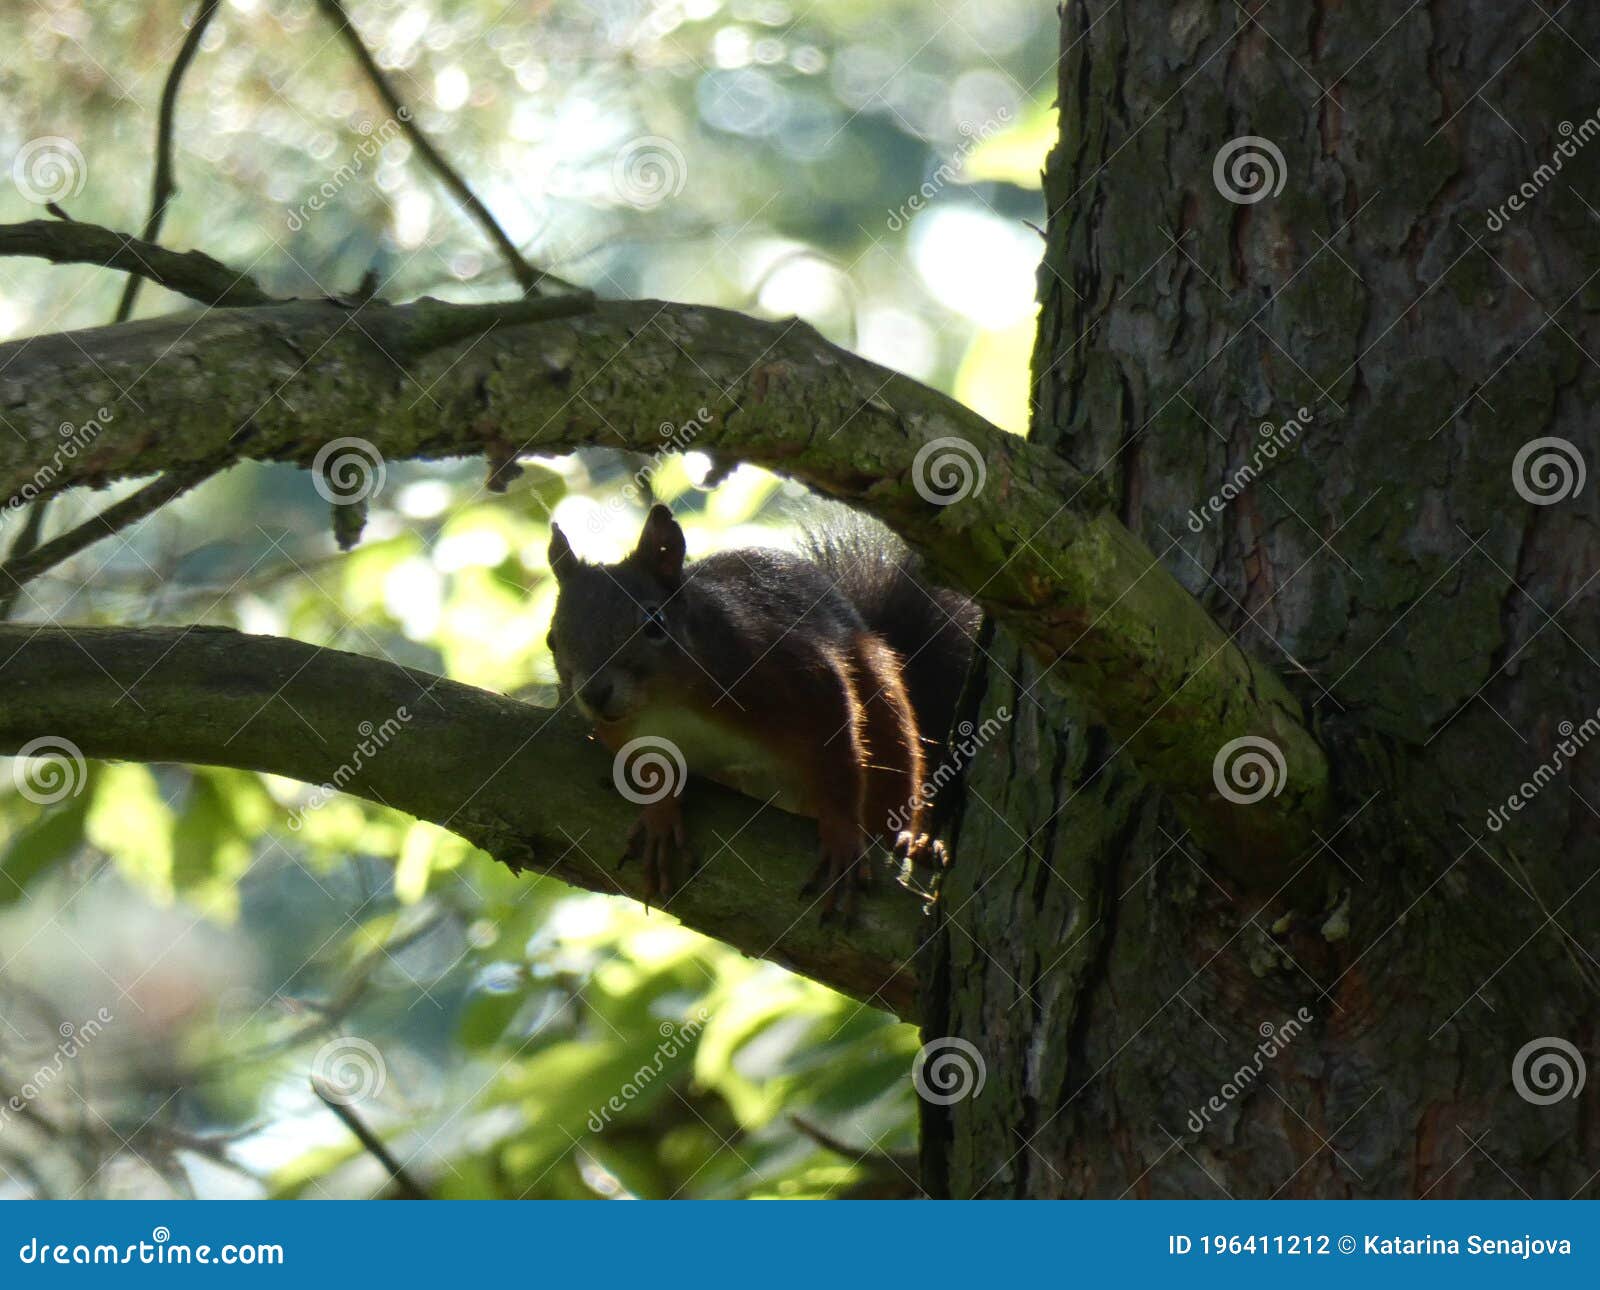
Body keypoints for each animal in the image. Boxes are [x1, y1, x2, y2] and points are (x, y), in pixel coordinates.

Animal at [546, 504, 978, 918]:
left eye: (655, 621)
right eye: (551, 638)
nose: (594, 693)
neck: (666, 702)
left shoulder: (792, 672)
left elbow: (836, 748)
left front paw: (842, 834)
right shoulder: (622, 733)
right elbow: (646, 770)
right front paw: (659, 814)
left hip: (884, 704)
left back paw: (911, 842)